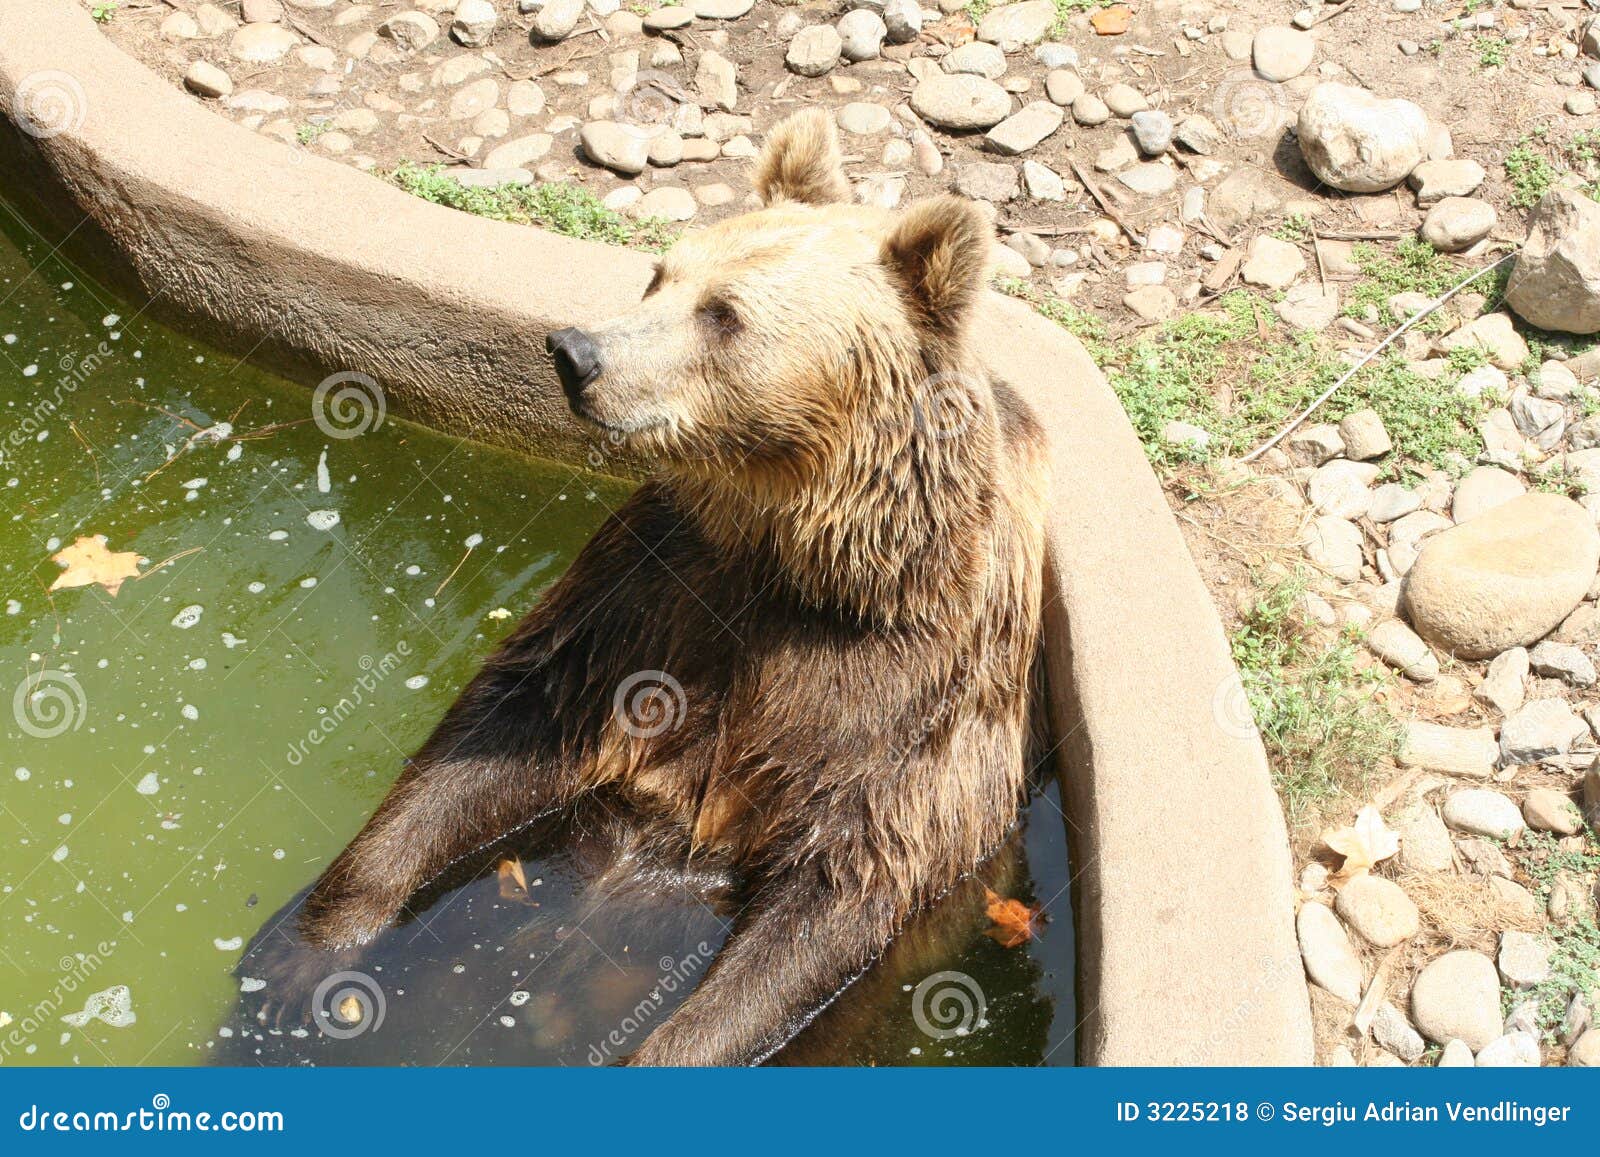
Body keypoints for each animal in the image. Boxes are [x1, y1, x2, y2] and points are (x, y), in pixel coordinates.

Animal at [242, 106, 1050, 1066]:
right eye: (660, 274)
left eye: (724, 314)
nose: (574, 351)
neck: (793, 554)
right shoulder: (648, 592)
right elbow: (497, 731)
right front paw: (302, 957)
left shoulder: (900, 696)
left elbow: (836, 893)